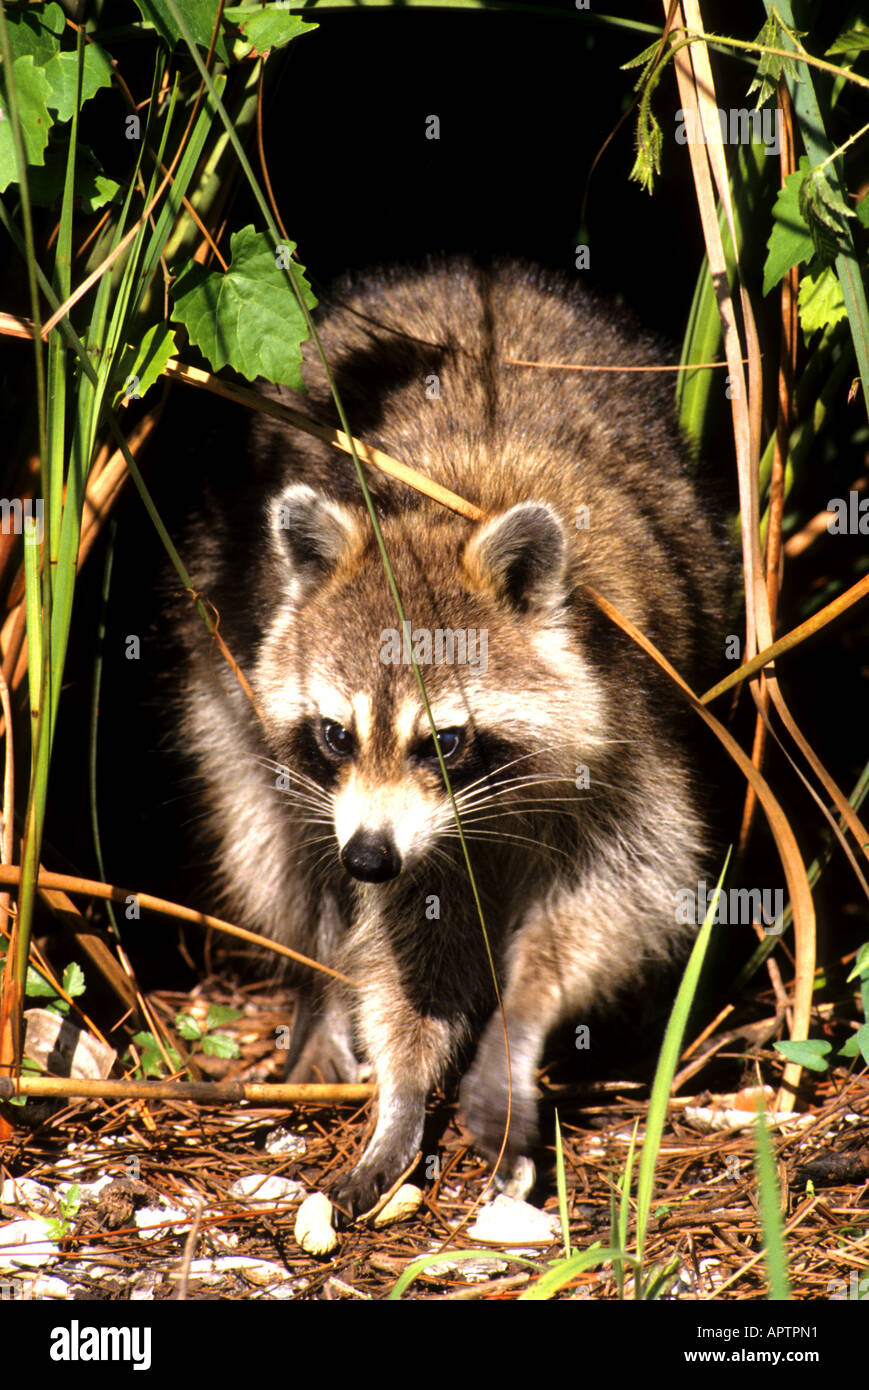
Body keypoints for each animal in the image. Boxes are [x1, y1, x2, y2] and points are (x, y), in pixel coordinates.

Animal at [169, 257, 728, 1219]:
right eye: (335, 733)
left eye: (444, 743)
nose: (366, 858)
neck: (450, 501)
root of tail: (467, 271)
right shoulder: (372, 816)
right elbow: (405, 947)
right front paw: (398, 1090)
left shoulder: (630, 733)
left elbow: (612, 906)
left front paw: (518, 1028)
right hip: (226, 639)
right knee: (271, 838)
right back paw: (319, 987)